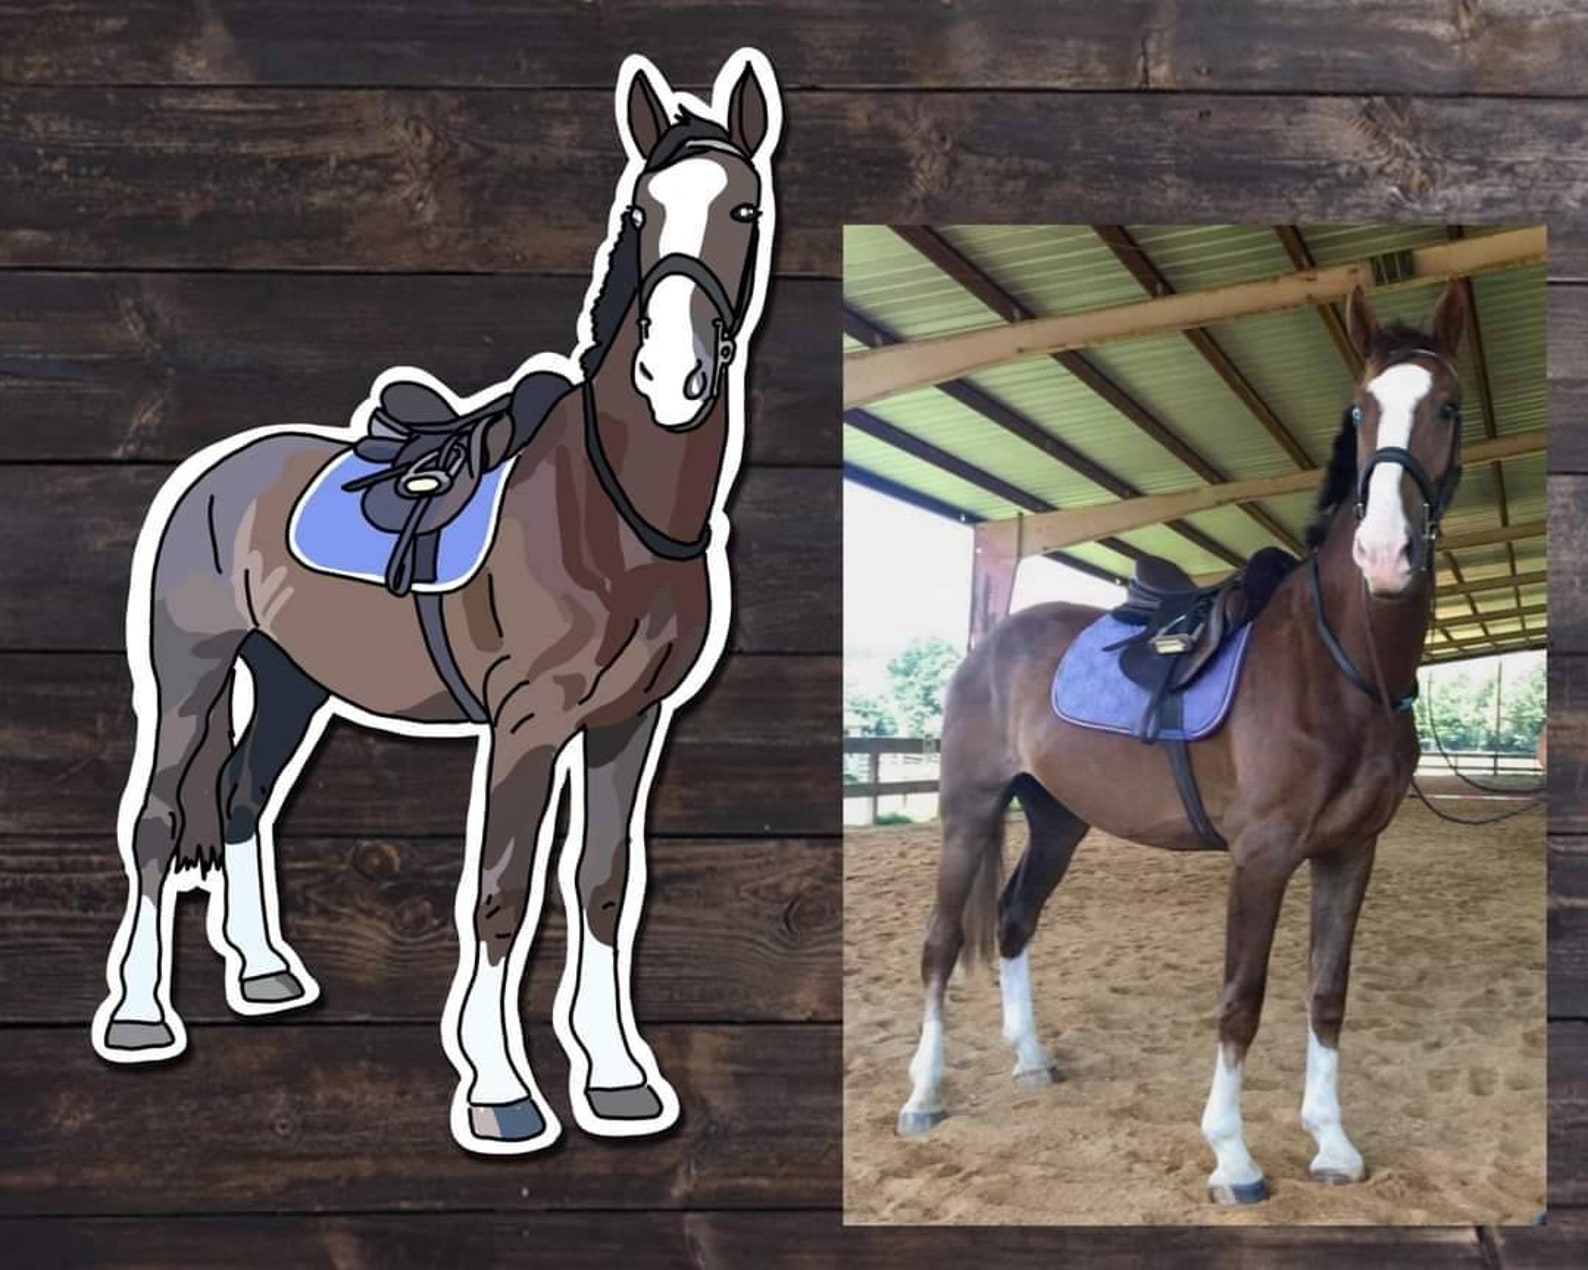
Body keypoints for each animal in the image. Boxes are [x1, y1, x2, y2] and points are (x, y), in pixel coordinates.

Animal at [91, 49, 782, 1156]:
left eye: (745, 207)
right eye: (640, 210)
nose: (670, 375)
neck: (609, 507)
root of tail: (212, 473)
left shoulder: (633, 723)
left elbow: (601, 884)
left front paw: (618, 1078)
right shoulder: (528, 725)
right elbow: (501, 893)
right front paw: (500, 1090)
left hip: (291, 683)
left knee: (242, 795)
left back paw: (266, 974)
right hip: (188, 675)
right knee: (157, 819)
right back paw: (141, 1016)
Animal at [898, 281, 1470, 1204]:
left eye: (1447, 405)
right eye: (1361, 408)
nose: (1385, 553)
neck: (1338, 662)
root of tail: (991, 644)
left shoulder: (1351, 853)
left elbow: (1327, 993)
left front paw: (1332, 1145)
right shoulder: (1263, 855)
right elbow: (1242, 998)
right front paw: (1233, 1158)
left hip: (1056, 819)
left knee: (1015, 921)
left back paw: (1032, 1062)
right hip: (968, 810)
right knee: (942, 944)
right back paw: (923, 1095)